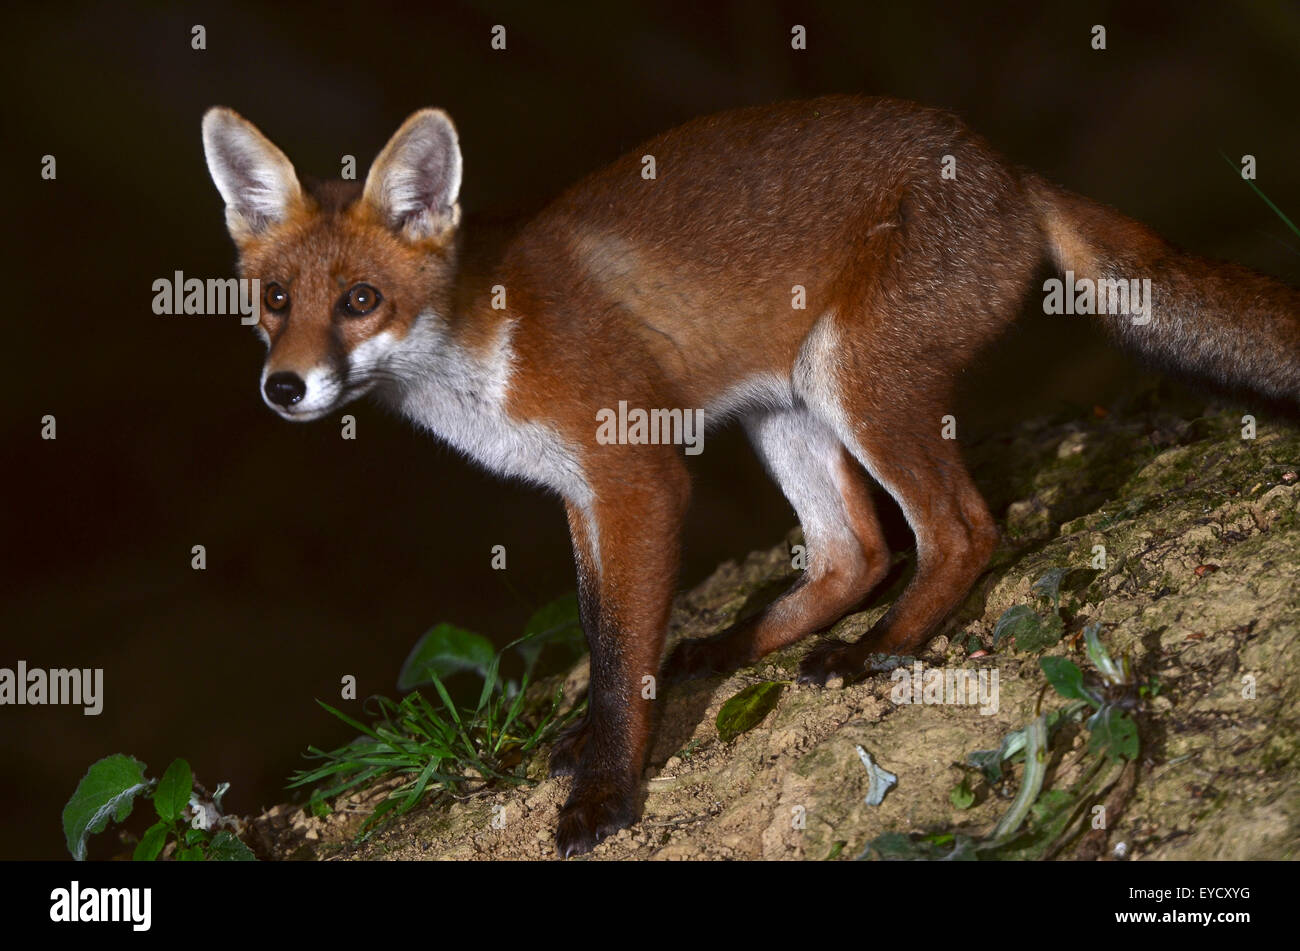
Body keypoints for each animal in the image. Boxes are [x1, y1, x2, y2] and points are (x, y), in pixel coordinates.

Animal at [201, 95, 1300, 857]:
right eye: (275, 300)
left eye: (360, 299)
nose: (283, 388)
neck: (485, 348)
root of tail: (1005, 164)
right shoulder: (580, 496)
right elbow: (607, 636)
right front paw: (600, 733)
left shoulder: (634, 474)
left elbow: (615, 660)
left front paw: (605, 792)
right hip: (788, 407)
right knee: (855, 552)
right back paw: (734, 644)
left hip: (853, 380)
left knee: (960, 528)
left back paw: (878, 649)